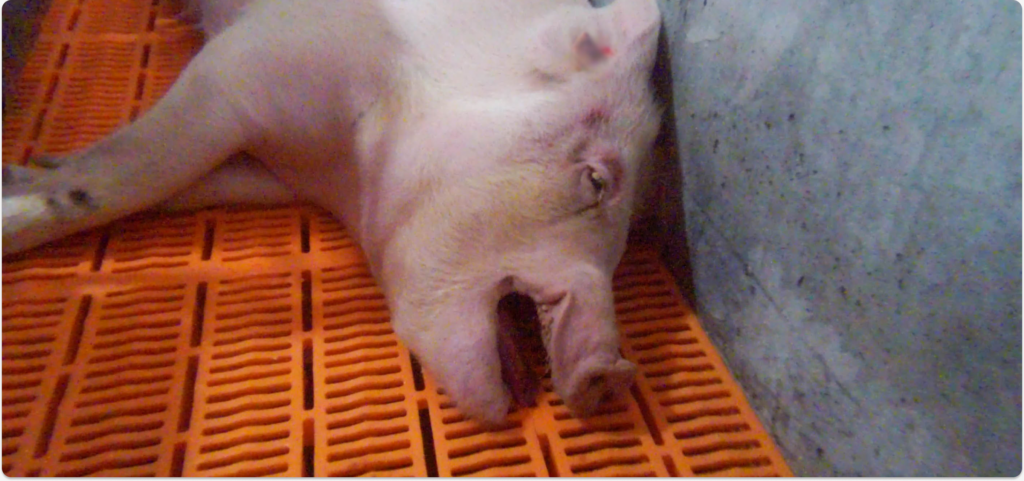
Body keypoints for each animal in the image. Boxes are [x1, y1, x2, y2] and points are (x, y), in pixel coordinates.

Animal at [2, 0, 663, 425]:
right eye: (598, 178)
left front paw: (35, 168)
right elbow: (134, 169)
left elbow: (178, 184)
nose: (616, 372)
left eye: (634, 229)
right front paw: (24, 200)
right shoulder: (239, 64)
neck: (344, 166)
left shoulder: (272, 174)